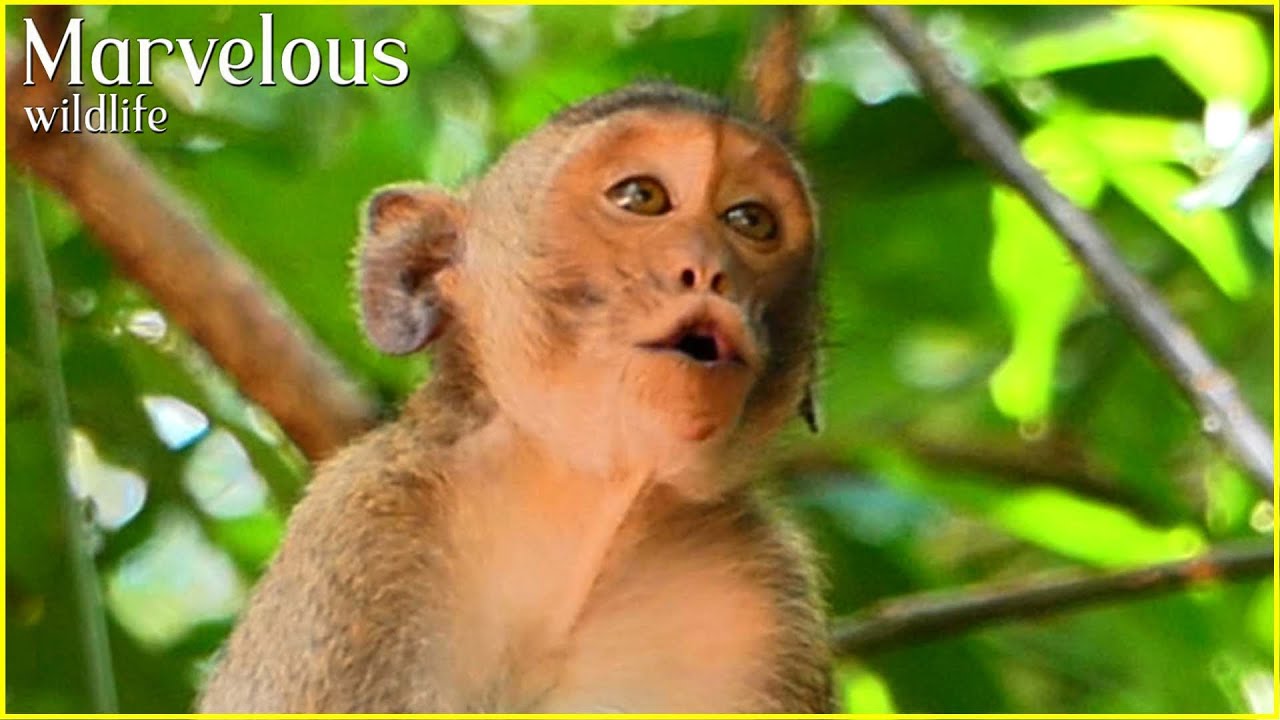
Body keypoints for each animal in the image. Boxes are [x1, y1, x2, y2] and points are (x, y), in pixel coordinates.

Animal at [196, 80, 832, 713]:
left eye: (750, 221)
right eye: (641, 197)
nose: (708, 270)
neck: (583, 512)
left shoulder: (767, 603)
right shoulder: (363, 535)